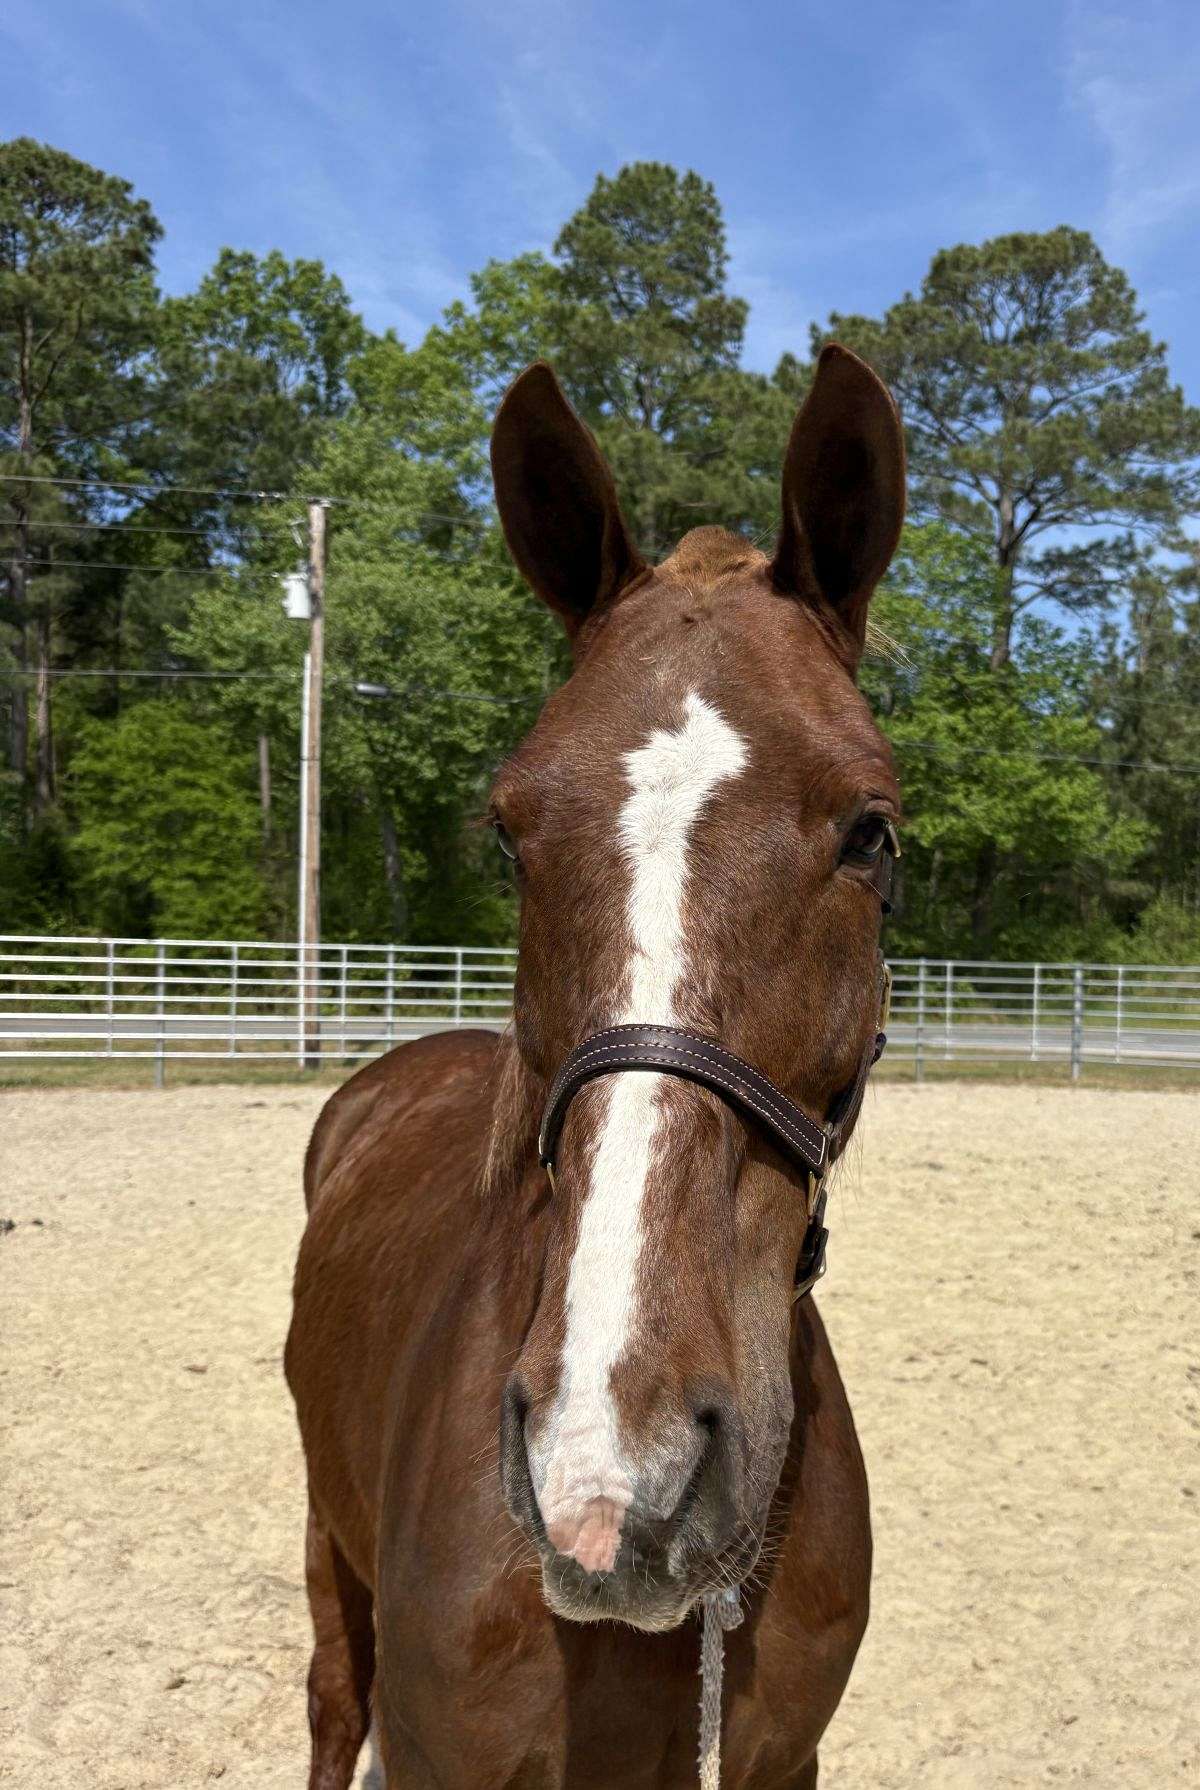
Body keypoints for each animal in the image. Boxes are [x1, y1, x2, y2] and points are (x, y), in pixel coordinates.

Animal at [285, 340, 906, 1789]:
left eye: (873, 833)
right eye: (510, 830)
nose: (619, 1466)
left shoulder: (779, 1760)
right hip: (324, 1532)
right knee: (334, 1697)